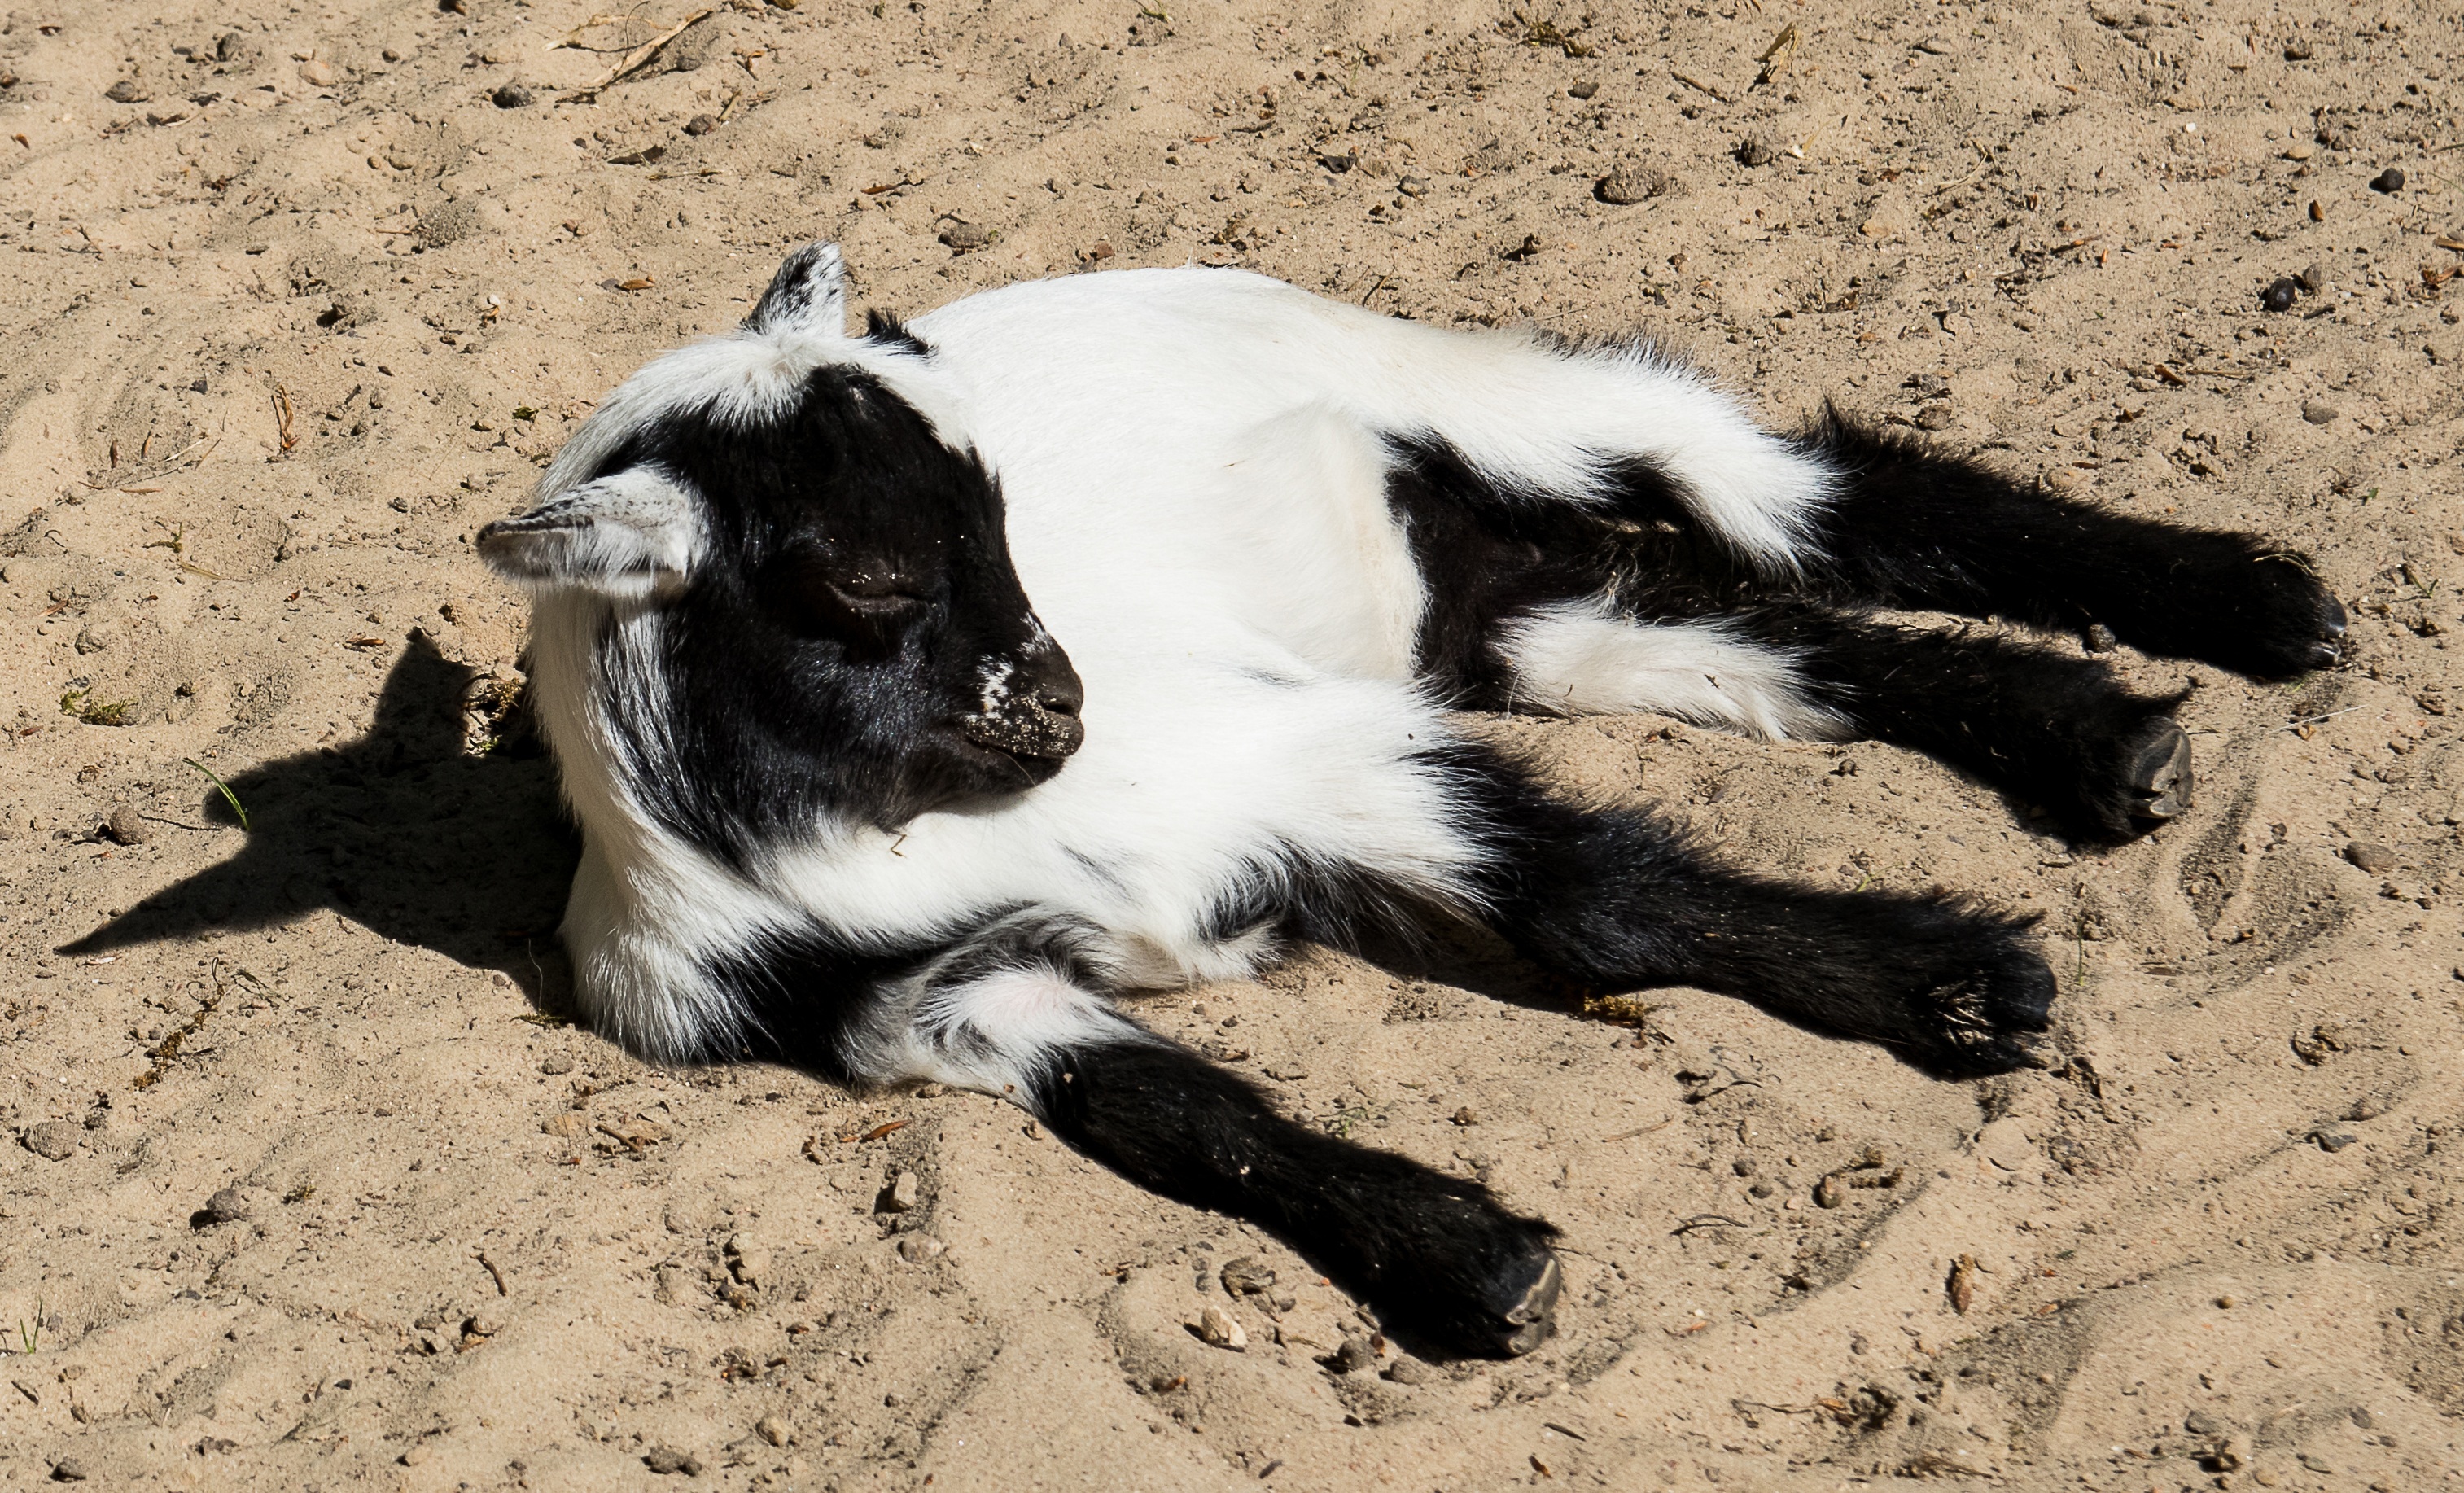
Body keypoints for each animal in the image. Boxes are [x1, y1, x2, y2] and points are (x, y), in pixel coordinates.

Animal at [478, 243, 2346, 1356]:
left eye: (994, 512)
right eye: (861, 581)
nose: (1064, 701)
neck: (866, 846)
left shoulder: (1310, 755)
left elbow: (1594, 898)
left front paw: (1964, 984)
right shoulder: (943, 1003)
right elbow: (1169, 1114)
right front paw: (1470, 1254)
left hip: (1496, 400)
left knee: (1808, 489)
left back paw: (2253, 610)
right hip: (1480, 599)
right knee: (1748, 632)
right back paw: (2100, 739)